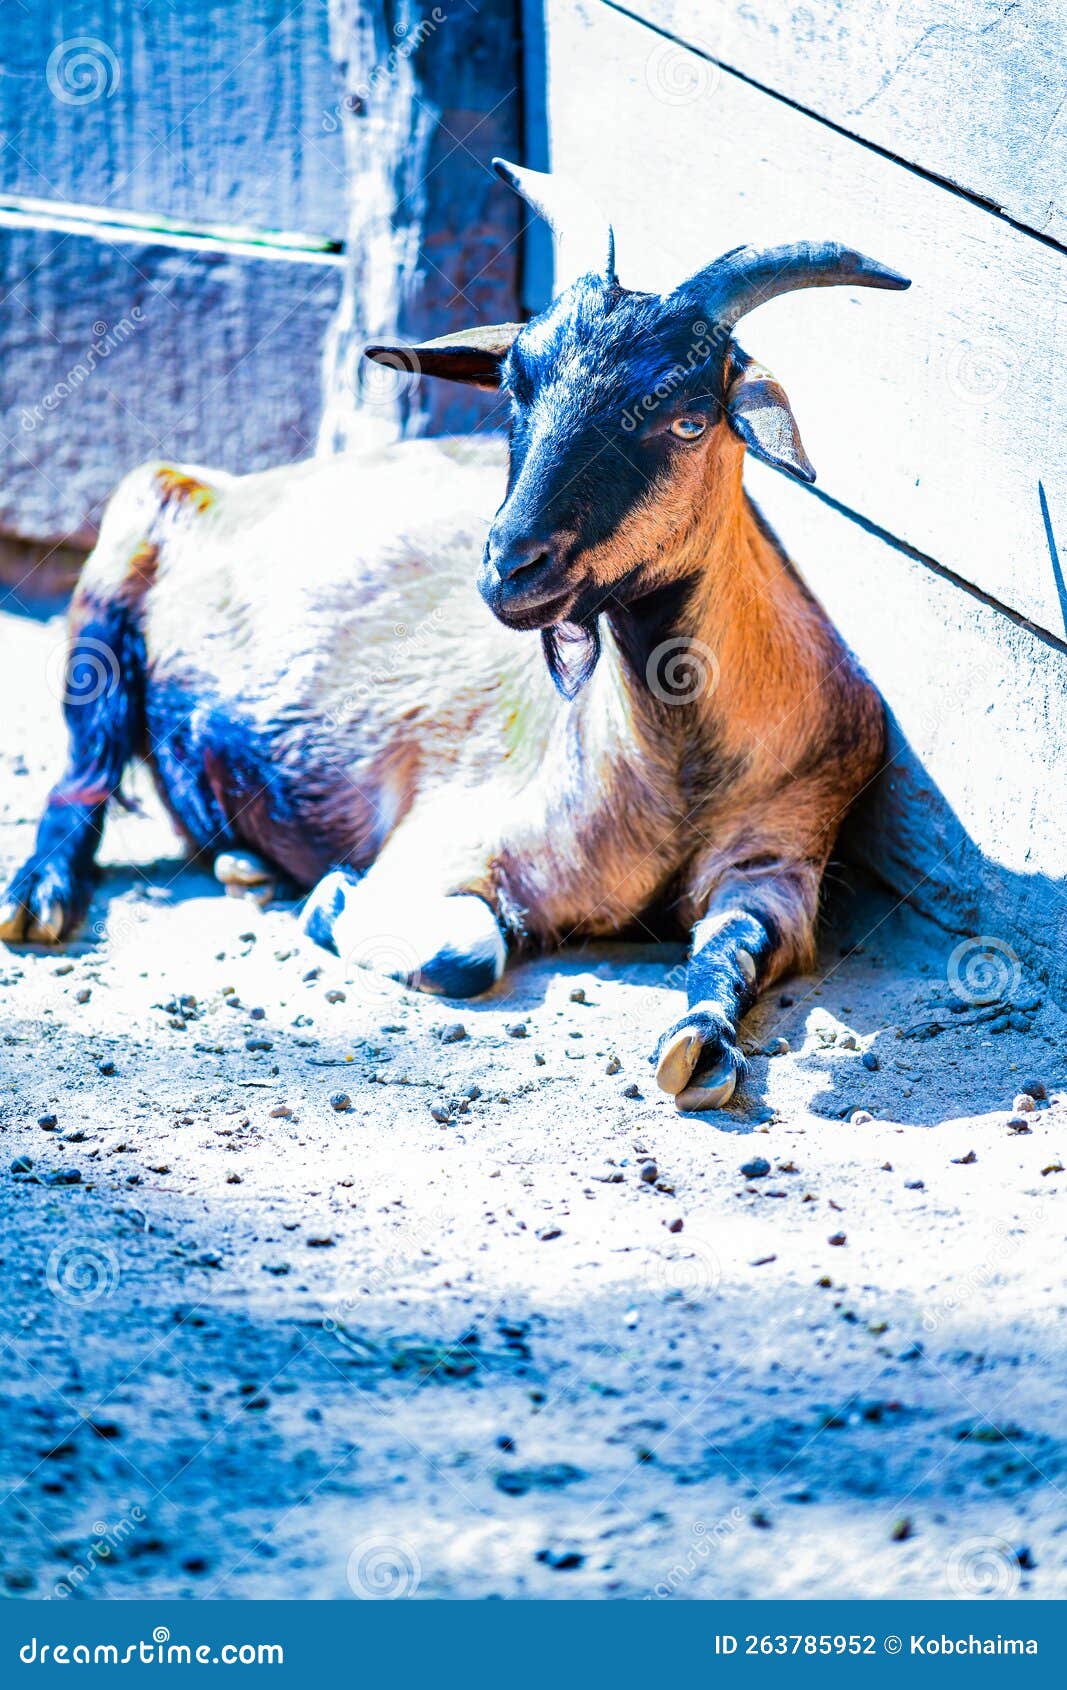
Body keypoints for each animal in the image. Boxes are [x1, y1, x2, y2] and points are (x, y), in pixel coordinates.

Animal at [0, 160, 907, 1109]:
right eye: (515, 385)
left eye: (689, 418)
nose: (511, 562)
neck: (677, 769)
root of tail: (230, 484)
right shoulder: (442, 842)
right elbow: (460, 950)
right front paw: (330, 902)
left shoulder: (778, 859)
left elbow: (736, 946)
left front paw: (699, 1047)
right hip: (126, 543)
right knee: (83, 766)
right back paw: (41, 897)